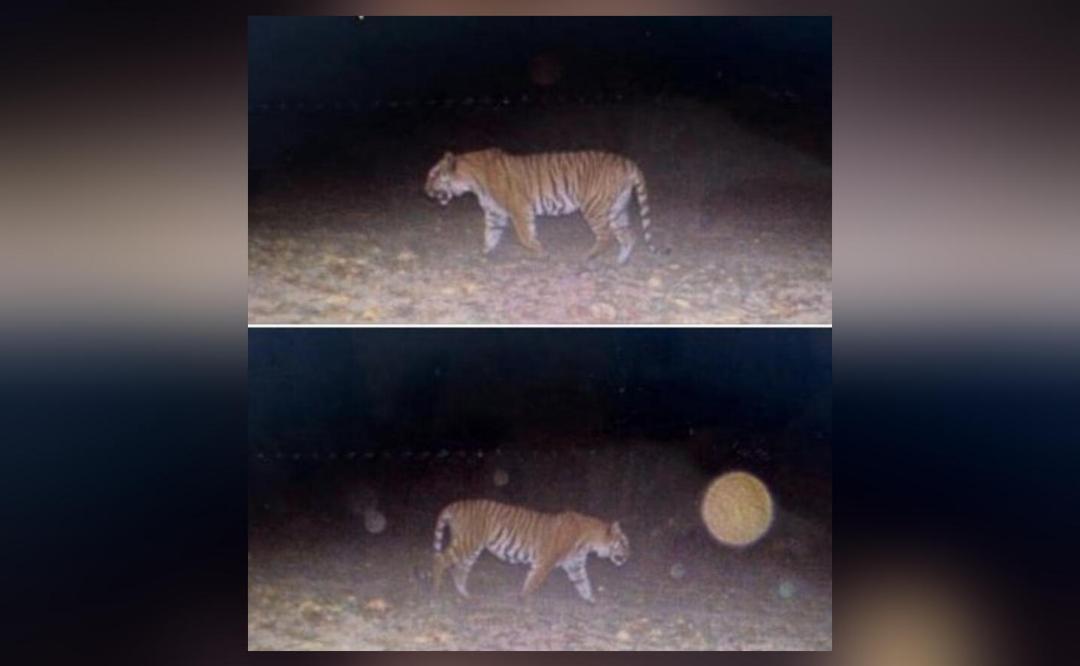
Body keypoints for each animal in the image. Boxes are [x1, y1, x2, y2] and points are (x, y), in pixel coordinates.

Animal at [424, 148, 657, 264]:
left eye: (433, 175)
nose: (424, 190)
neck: (471, 181)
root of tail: (627, 162)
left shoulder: (519, 209)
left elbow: (525, 237)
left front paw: (542, 253)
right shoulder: (495, 213)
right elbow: (490, 235)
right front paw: (483, 255)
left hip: (595, 207)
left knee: (607, 236)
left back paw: (588, 258)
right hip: (617, 208)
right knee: (629, 235)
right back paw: (621, 261)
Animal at [432, 498, 629, 603]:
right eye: (624, 543)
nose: (630, 556)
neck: (591, 542)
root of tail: (456, 504)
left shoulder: (575, 565)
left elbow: (583, 583)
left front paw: (591, 601)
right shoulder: (545, 562)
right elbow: (533, 581)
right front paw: (524, 599)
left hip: (472, 550)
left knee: (459, 571)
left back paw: (466, 595)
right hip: (467, 542)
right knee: (441, 560)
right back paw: (437, 589)